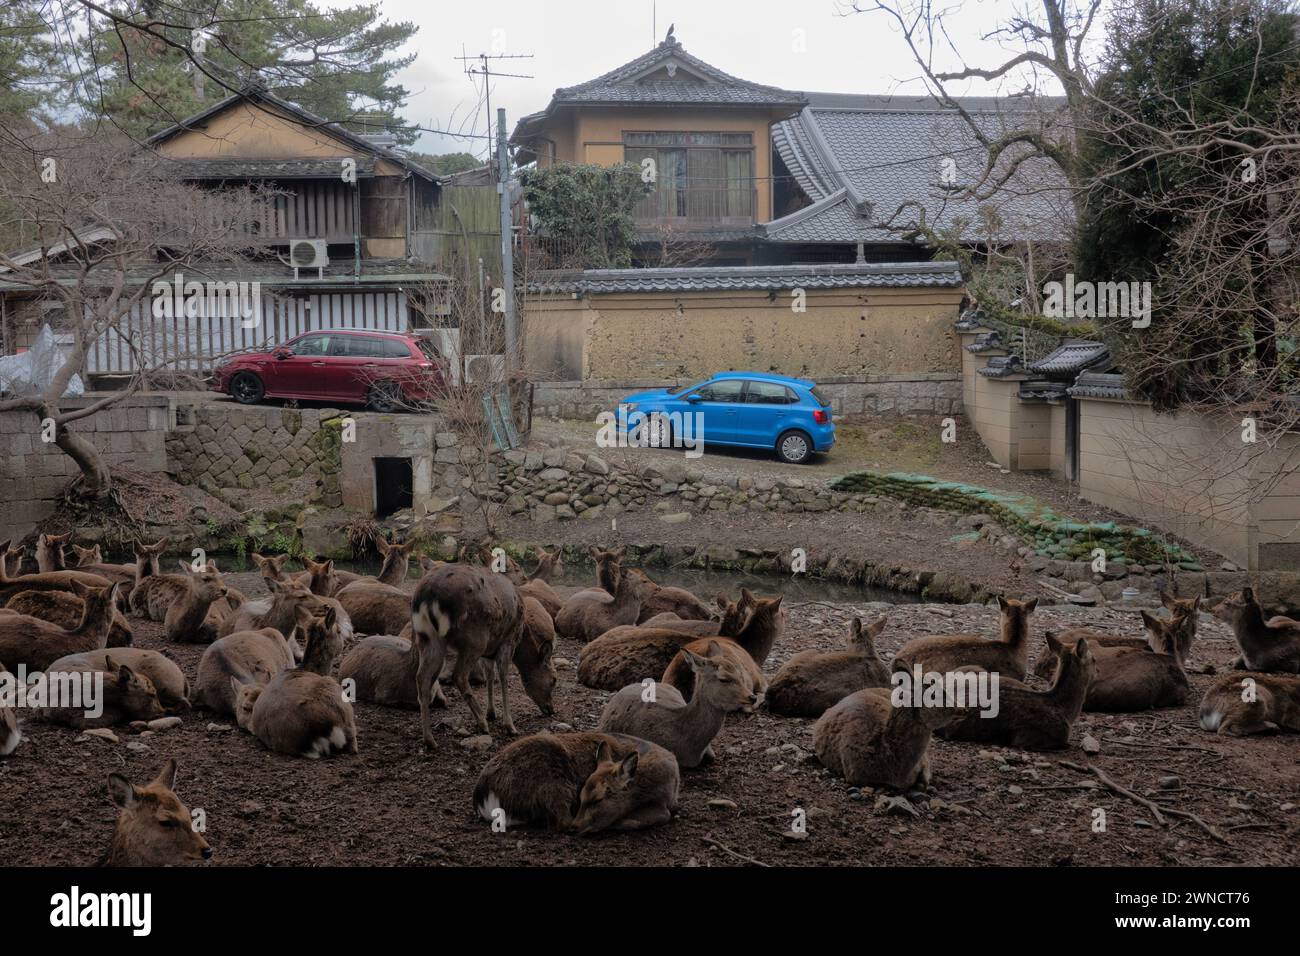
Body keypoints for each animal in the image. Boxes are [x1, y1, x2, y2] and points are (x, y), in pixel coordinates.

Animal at [410, 563, 525, 746]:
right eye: (518, 569)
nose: (526, 578)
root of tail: (428, 595)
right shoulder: (509, 640)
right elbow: (503, 677)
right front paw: (510, 725)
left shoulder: (489, 652)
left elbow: (490, 675)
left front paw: (492, 713)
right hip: (474, 638)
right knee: (459, 675)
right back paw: (482, 722)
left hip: (427, 637)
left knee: (422, 678)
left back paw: (429, 739)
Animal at [473, 732, 679, 834]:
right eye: (582, 797)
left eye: (597, 799)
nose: (577, 827)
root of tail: (484, 798)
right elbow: (663, 815)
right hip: (555, 785)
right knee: (561, 822)